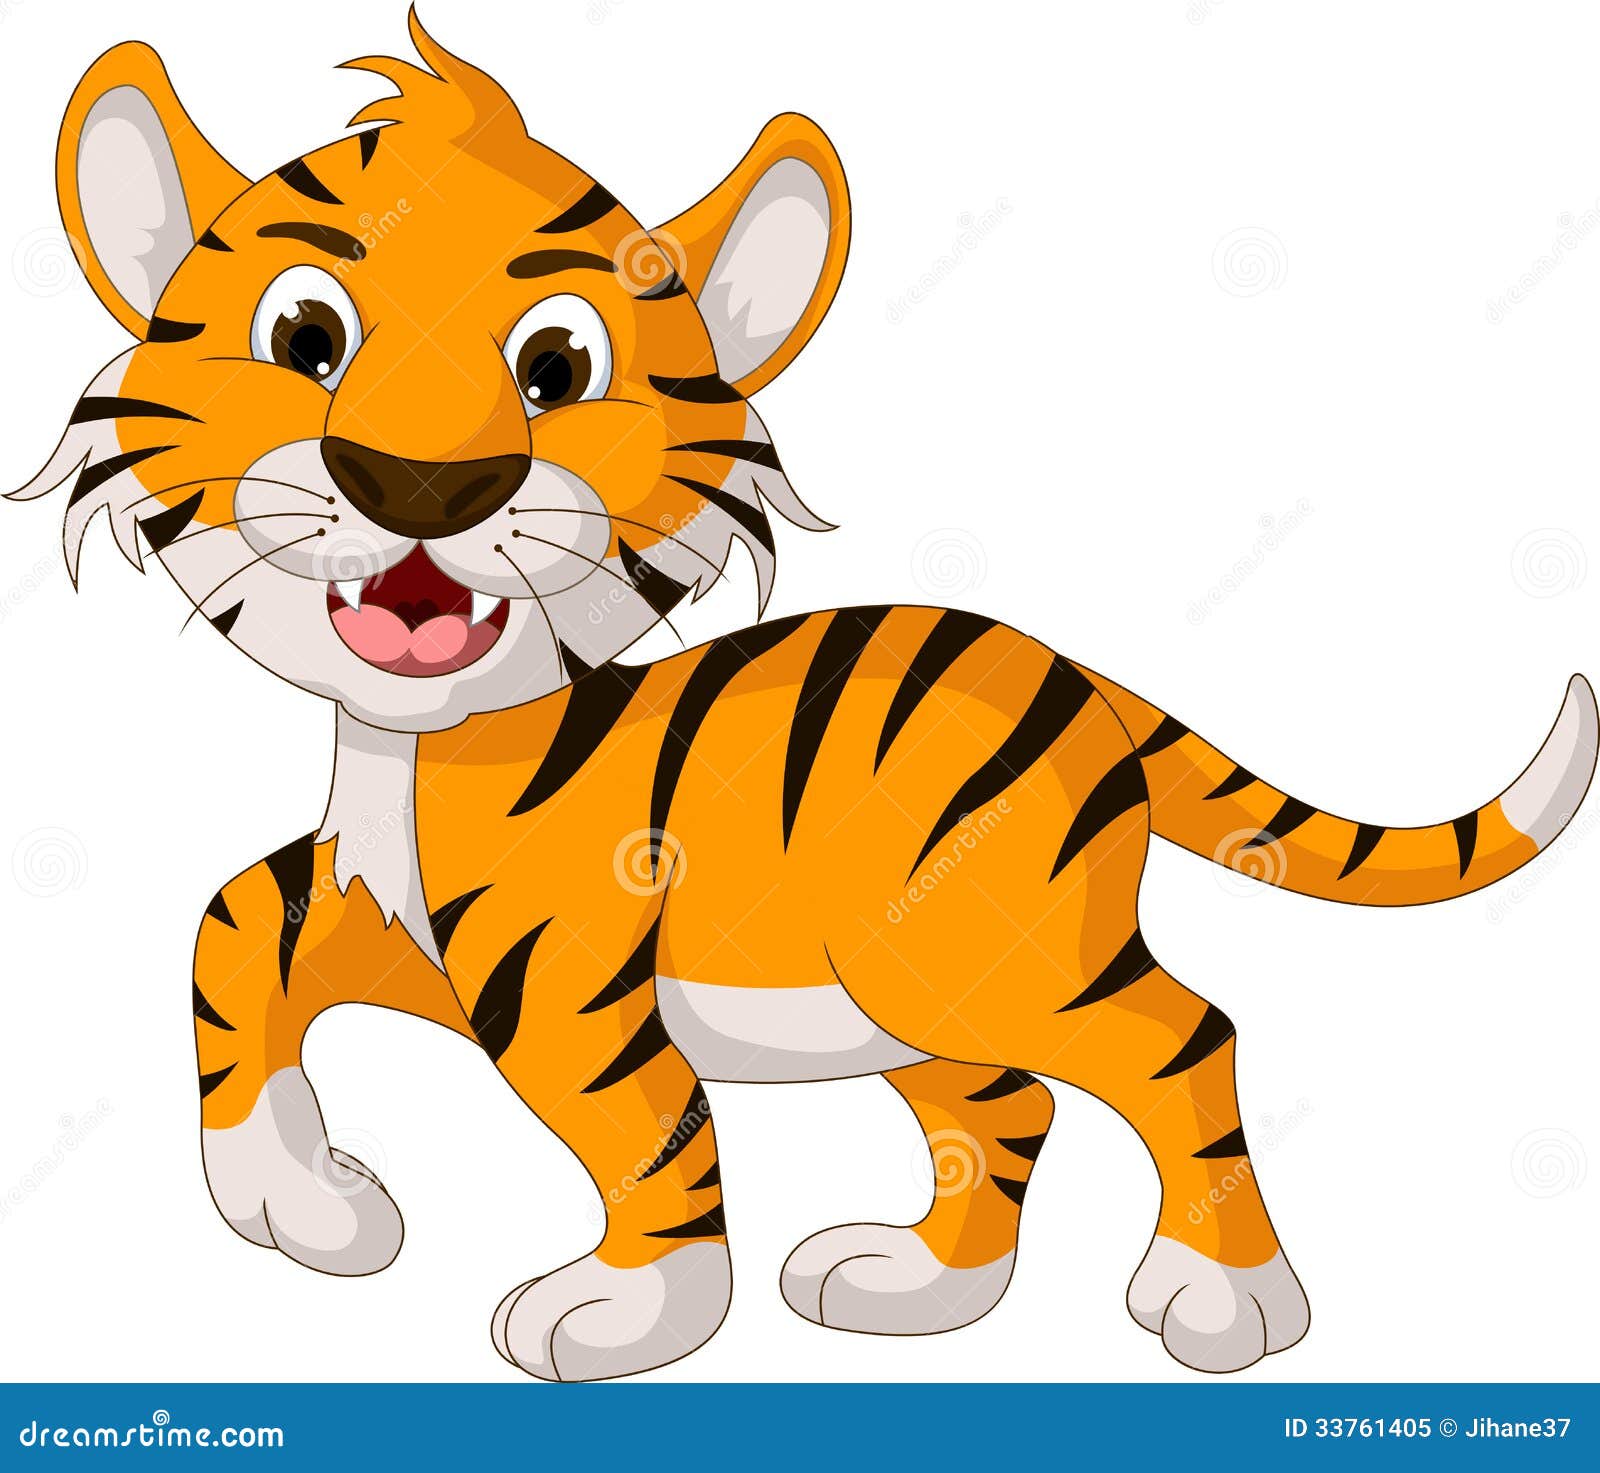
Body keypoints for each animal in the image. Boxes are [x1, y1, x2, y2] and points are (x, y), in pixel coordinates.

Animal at [10, 11, 1596, 1383]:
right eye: (306, 338)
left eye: (558, 364)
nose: (422, 482)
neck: (418, 751)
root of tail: (1068, 668)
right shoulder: (376, 915)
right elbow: (228, 929)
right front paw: (302, 1202)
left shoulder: (568, 996)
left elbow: (646, 1139)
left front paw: (625, 1314)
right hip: (912, 984)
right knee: (1004, 1102)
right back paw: (915, 1286)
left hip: (982, 950)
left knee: (1181, 1038)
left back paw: (1226, 1298)